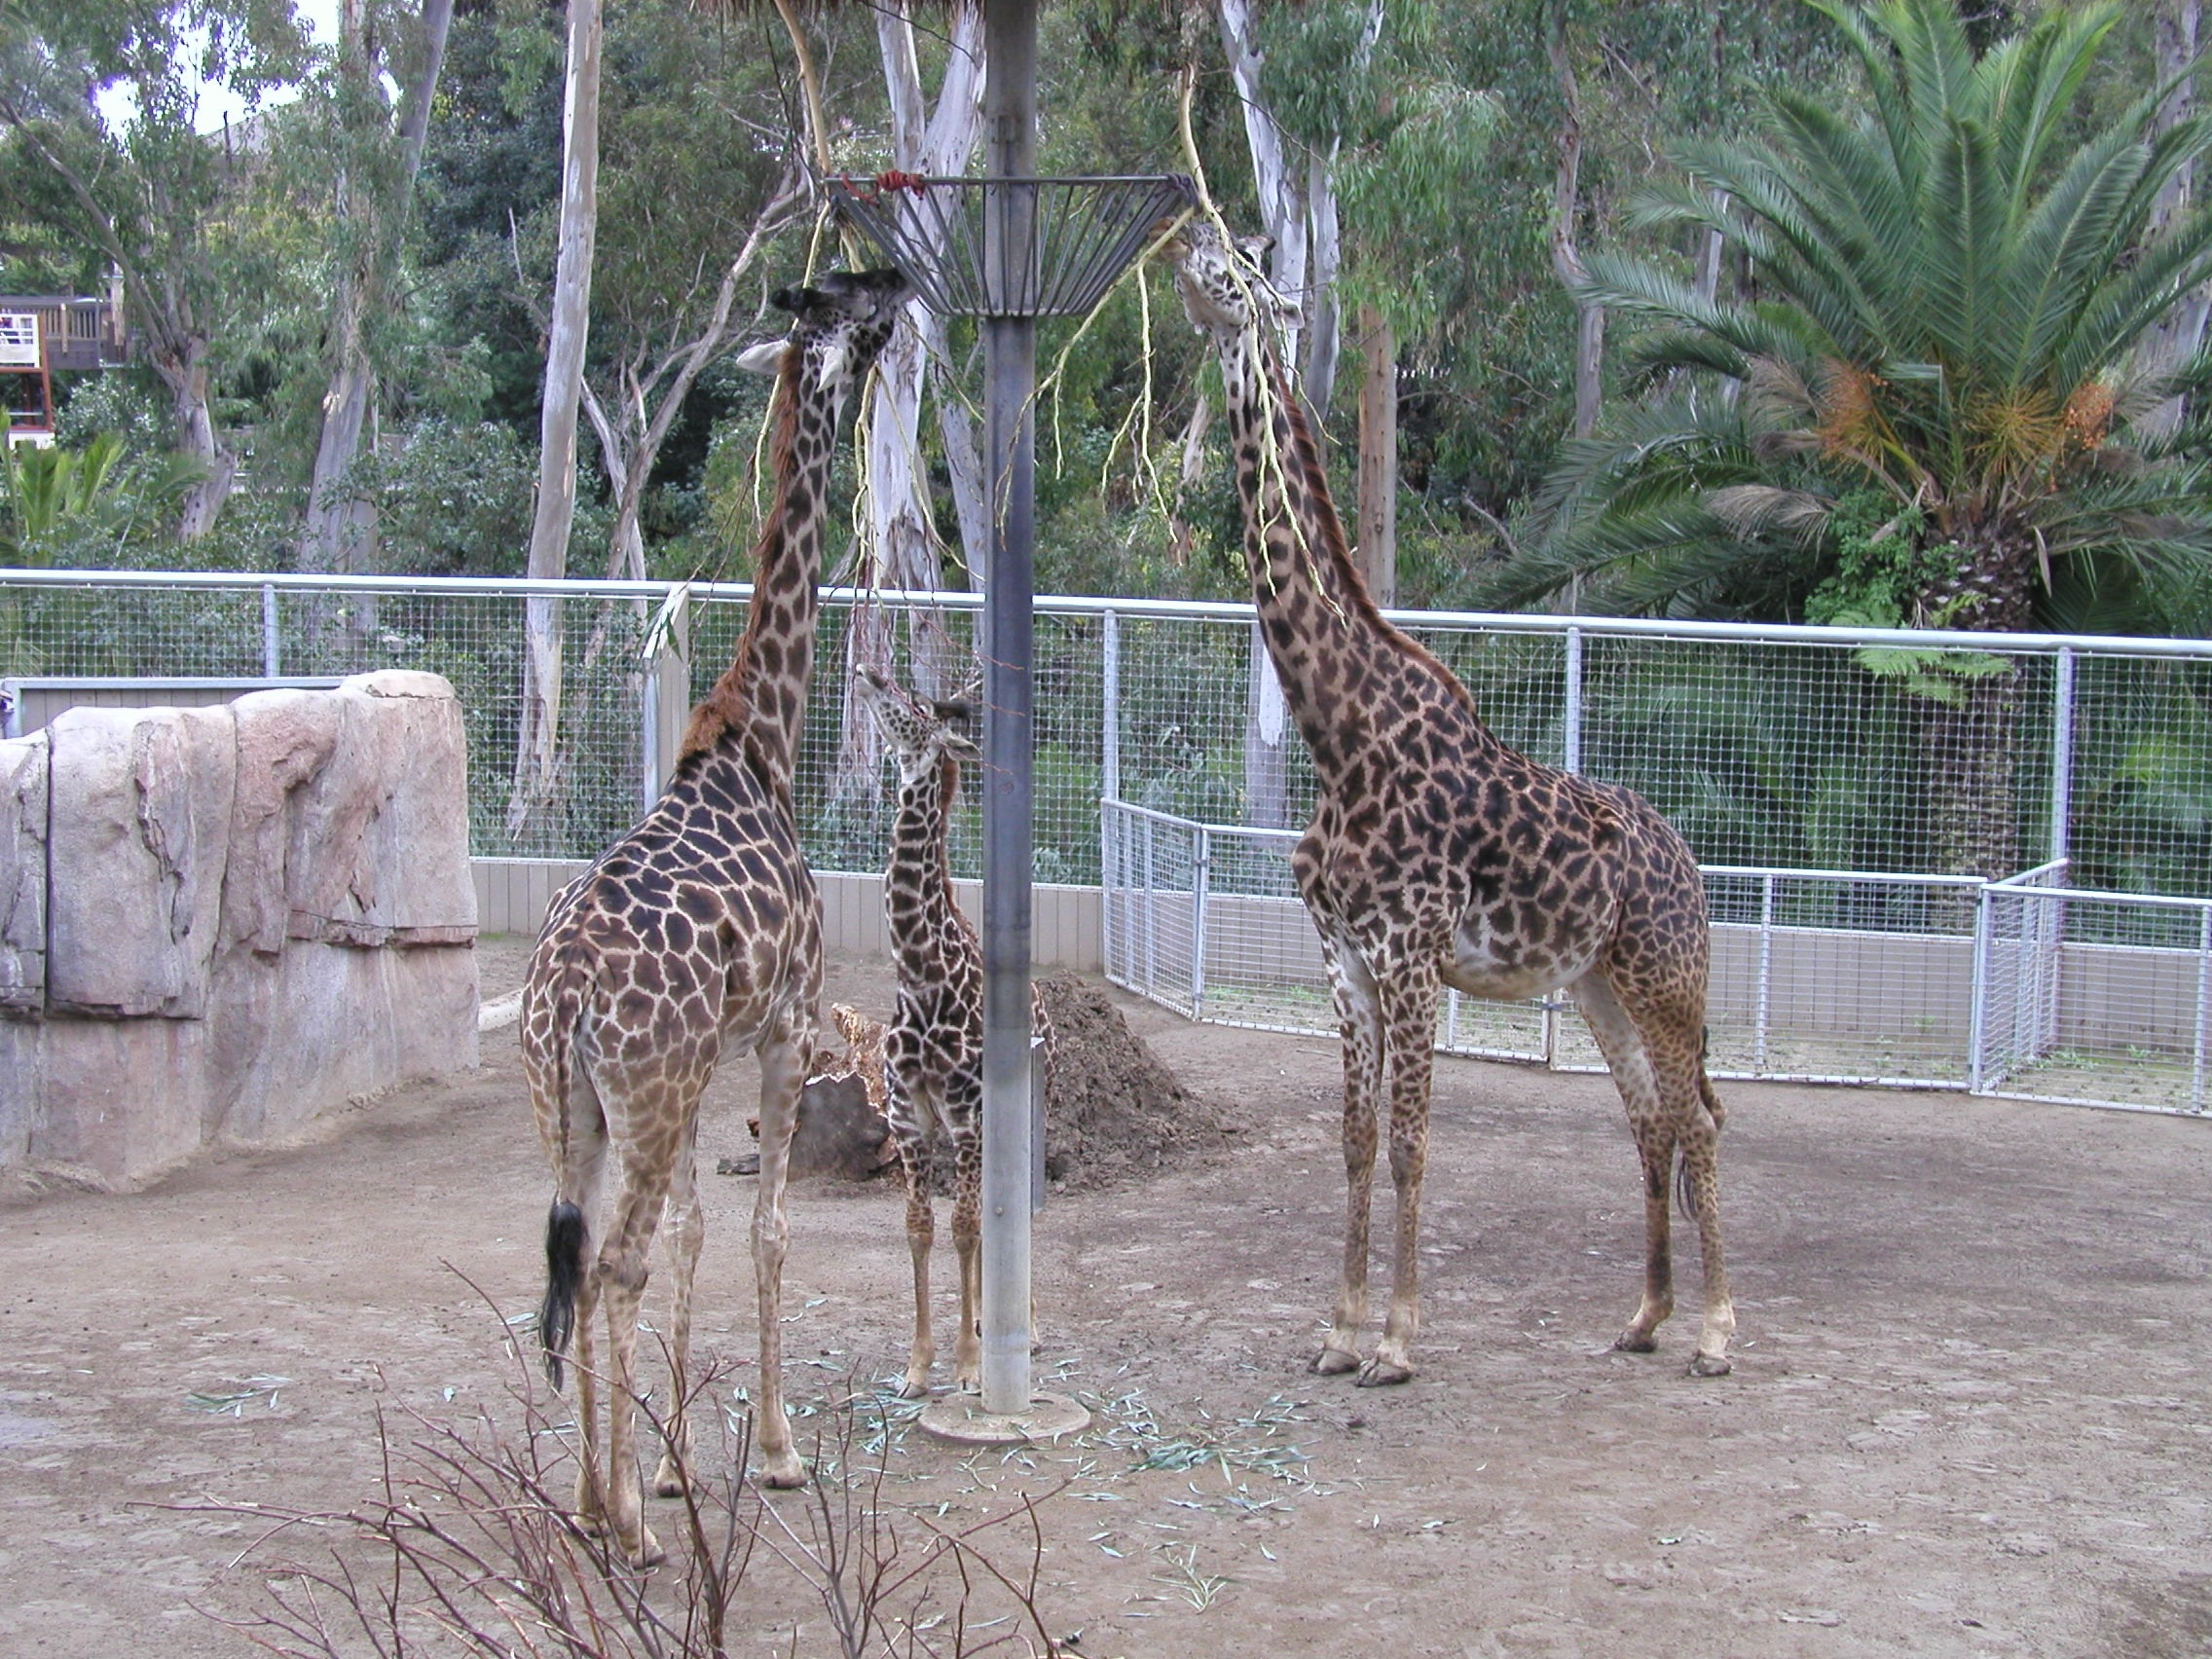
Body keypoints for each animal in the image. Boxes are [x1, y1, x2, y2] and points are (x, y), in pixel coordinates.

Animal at [524, 266, 910, 1568]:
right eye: (853, 309)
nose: (905, 290)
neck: (761, 739)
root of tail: (563, 1000)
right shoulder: (785, 1026)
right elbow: (767, 1230)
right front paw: (776, 1453)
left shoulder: (708, 1064)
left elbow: (702, 1232)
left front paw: (677, 1464)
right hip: (641, 1090)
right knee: (613, 1263)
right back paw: (621, 1527)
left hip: (574, 1103)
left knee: (578, 1255)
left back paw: (594, 1497)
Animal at [852, 664, 1054, 1399]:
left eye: (913, 705)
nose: (868, 671)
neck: (919, 975)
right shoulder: (910, 1116)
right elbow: (920, 1227)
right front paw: (917, 1365)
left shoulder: (969, 1115)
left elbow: (969, 1228)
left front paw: (969, 1366)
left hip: (1028, 1111)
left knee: (1017, 1211)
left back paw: (1023, 1326)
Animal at [1164, 219, 1733, 1386]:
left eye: (1245, 267)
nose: (1188, 233)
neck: (1341, 739)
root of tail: (1688, 861)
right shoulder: (1341, 959)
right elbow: (1354, 1141)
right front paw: (1337, 1331)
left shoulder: (1411, 955)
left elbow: (1414, 1146)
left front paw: (1396, 1340)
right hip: (1602, 981)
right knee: (1651, 1118)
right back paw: (1644, 1317)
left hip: (1667, 978)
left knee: (1699, 1117)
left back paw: (1713, 1332)